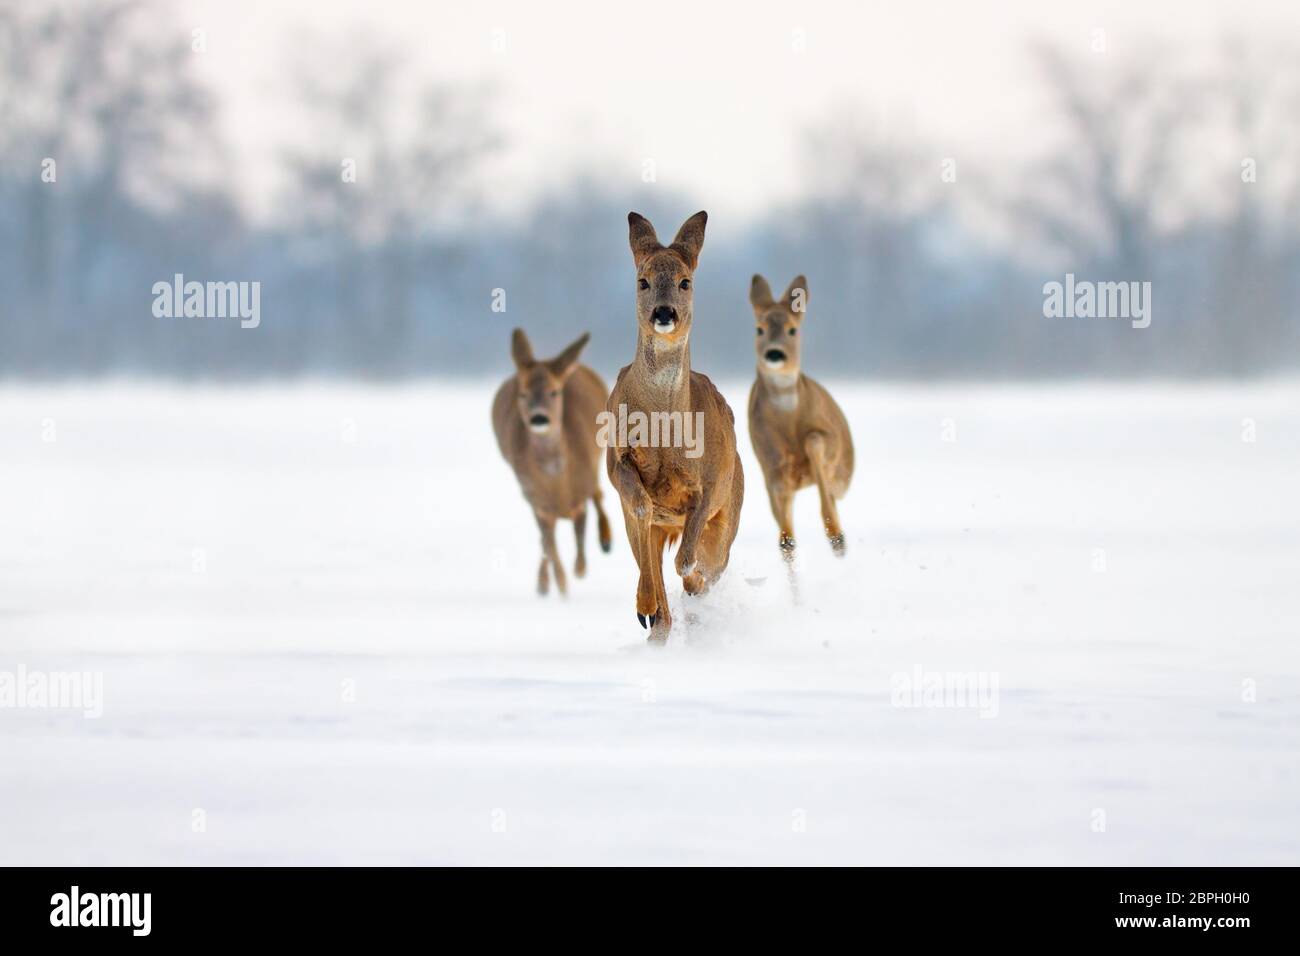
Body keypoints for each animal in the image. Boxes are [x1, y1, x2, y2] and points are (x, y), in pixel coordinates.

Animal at [492, 328, 612, 596]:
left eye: (554, 392)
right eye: (523, 394)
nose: (538, 418)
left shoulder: (579, 493)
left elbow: (580, 536)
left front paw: (579, 570)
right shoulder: (537, 501)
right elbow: (550, 546)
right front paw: (561, 585)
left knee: (599, 493)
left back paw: (606, 540)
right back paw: (544, 583)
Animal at [605, 211, 745, 642]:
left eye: (686, 281)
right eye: (642, 280)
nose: (664, 313)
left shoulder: (712, 481)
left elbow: (687, 559)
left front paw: (691, 585)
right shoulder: (615, 459)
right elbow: (640, 504)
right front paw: (647, 607)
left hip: (731, 510)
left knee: (706, 564)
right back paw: (652, 616)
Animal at [747, 274, 854, 565]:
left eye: (792, 330)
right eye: (759, 329)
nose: (774, 354)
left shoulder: (830, 440)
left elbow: (814, 439)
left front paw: (836, 534)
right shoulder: (770, 464)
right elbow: (786, 538)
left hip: (842, 475)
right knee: (787, 539)